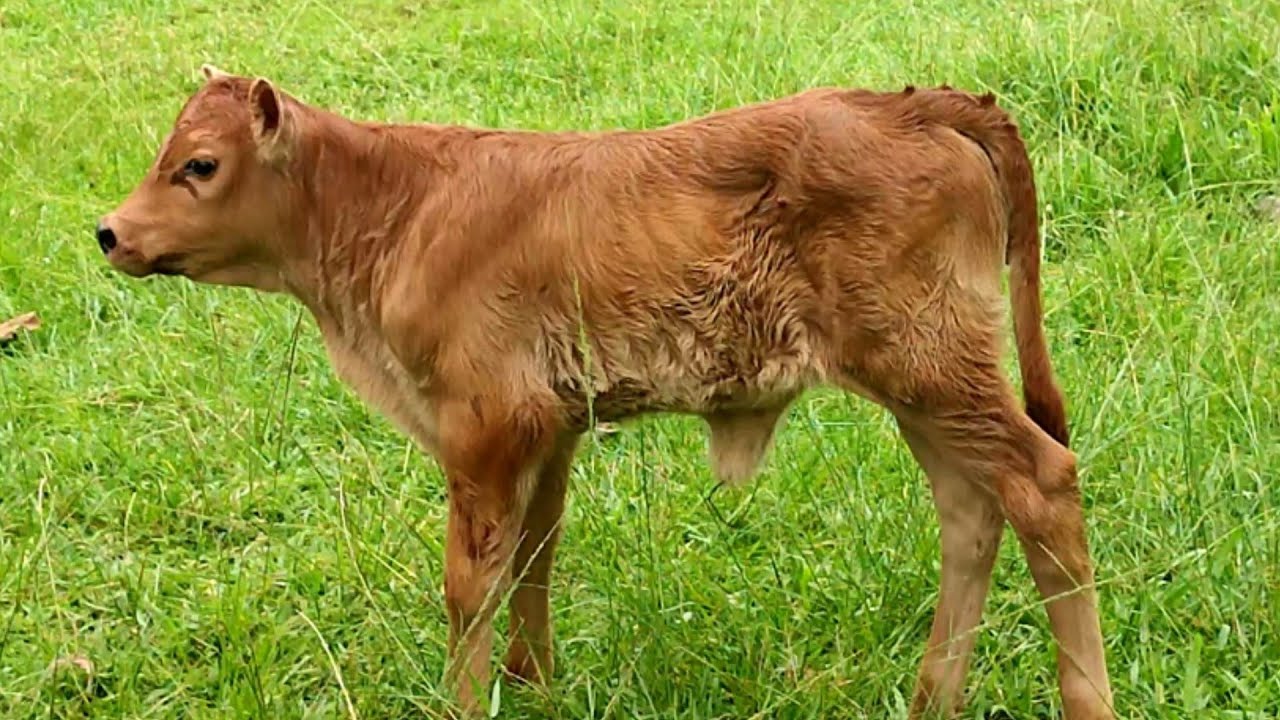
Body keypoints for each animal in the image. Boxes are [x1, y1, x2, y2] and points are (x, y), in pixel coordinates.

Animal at [97, 63, 1115, 719]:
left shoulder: (484, 423)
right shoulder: (549, 425)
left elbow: (469, 580)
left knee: (1042, 484)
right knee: (971, 511)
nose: (109, 231)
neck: (397, 209)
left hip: (930, 365)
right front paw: (533, 683)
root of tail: (913, 105)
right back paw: (931, 698)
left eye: (199, 164)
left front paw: (467, 702)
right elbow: (534, 555)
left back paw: (1080, 701)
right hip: (929, 384)